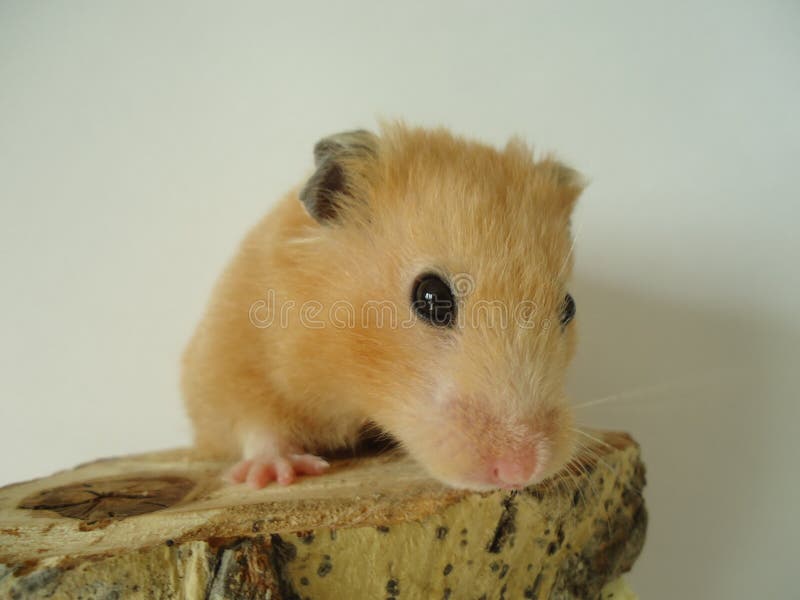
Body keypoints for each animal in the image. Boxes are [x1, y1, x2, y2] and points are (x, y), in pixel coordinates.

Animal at [182, 123, 584, 491]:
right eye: (431, 297)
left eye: (568, 306)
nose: (523, 471)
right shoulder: (232, 356)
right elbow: (256, 422)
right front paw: (277, 473)